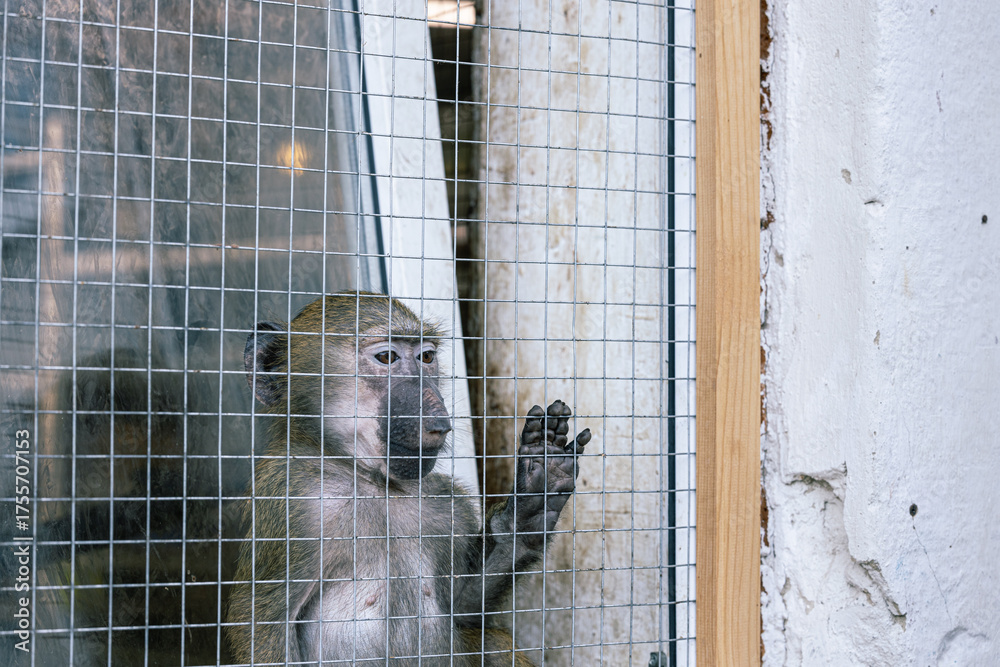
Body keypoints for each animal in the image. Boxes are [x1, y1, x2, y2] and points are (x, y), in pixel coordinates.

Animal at [226, 292, 590, 666]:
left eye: (426, 357)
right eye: (387, 357)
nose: (436, 415)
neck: (373, 482)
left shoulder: (447, 504)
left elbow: (463, 608)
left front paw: (532, 500)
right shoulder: (297, 498)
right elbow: (262, 623)